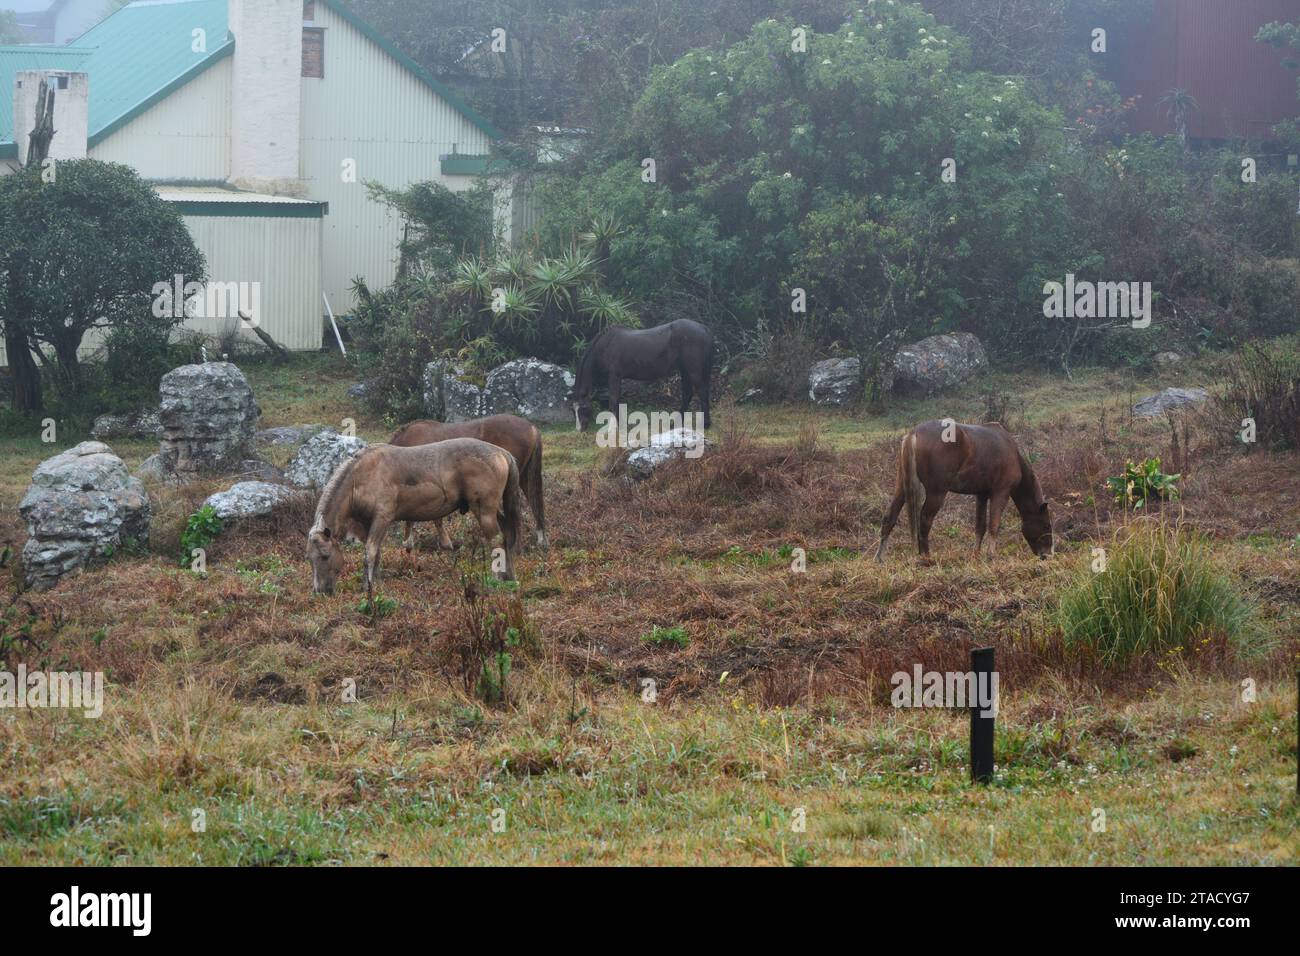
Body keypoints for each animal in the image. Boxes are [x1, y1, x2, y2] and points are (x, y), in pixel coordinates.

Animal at [307, 439, 523, 598]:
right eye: (310, 559)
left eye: (325, 556)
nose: (319, 591)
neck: (362, 476)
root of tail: (502, 453)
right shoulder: (370, 523)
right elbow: (376, 553)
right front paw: (374, 581)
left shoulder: (382, 519)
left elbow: (370, 551)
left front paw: (369, 587)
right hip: (495, 511)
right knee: (507, 536)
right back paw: (510, 576)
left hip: (484, 511)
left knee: (495, 541)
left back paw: (496, 579)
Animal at [570, 319, 714, 432]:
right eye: (573, 410)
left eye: (583, 408)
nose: (580, 429)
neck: (605, 345)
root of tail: (703, 328)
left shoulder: (614, 376)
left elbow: (613, 399)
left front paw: (613, 428)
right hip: (685, 370)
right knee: (687, 393)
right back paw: (676, 423)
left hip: (693, 370)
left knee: (702, 391)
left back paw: (706, 424)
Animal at [875, 421, 1054, 561]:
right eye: (1046, 526)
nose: (1047, 554)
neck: (1012, 453)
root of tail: (914, 434)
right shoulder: (1001, 492)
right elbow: (994, 525)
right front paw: (991, 555)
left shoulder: (982, 495)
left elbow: (980, 526)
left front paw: (976, 554)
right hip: (936, 493)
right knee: (925, 520)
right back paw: (926, 556)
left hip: (902, 488)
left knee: (890, 517)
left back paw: (879, 558)